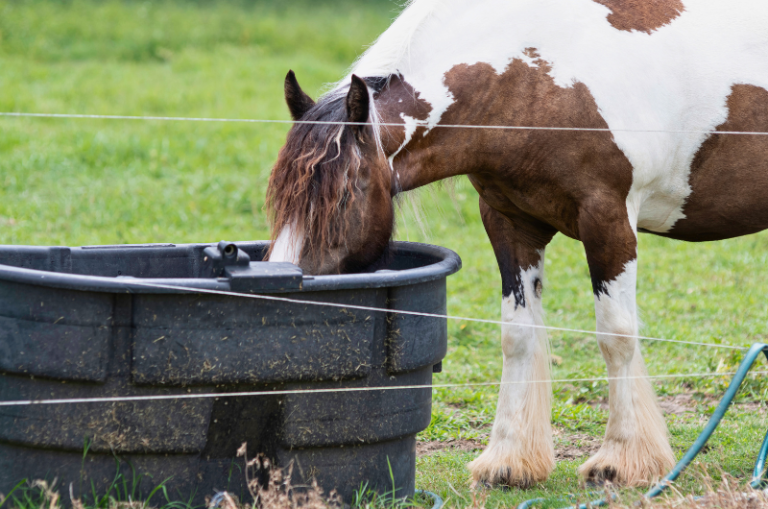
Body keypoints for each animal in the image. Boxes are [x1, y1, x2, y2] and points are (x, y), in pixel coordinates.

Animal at [266, 0, 768, 488]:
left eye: (343, 194)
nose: (286, 285)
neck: (536, 73)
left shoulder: (608, 220)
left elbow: (616, 335)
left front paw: (622, 460)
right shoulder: (509, 222)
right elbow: (518, 335)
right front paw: (510, 460)